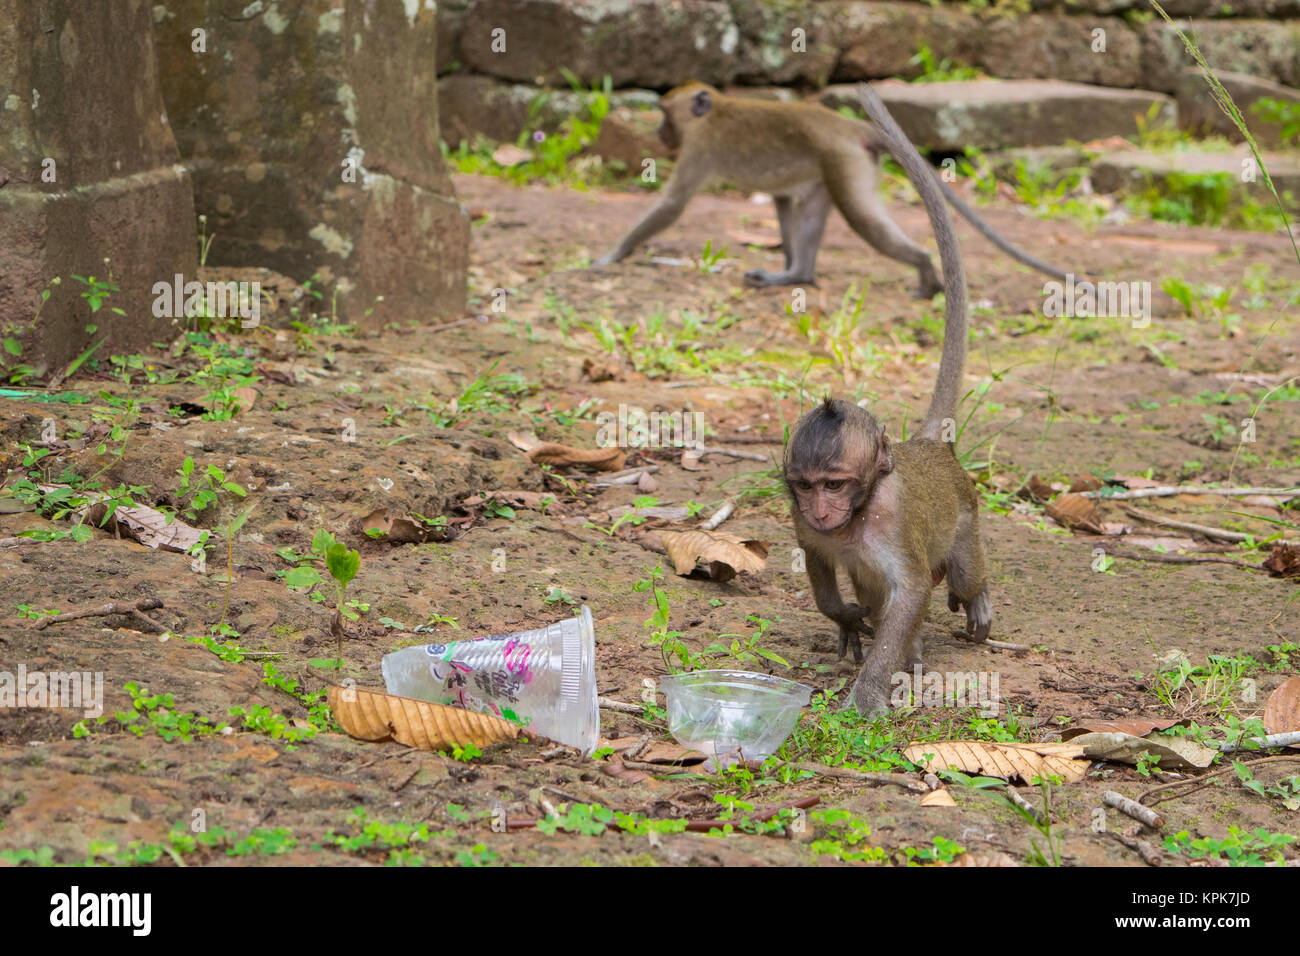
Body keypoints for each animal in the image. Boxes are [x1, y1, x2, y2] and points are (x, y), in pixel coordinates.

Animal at [593, 82, 1072, 297]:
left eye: (664, 114)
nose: (660, 133)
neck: (711, 113)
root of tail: (852, 126)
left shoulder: (699, 147)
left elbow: (672, 205)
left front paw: (610, 255)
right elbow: (783, 202)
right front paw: (786, 268)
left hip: (846, 162)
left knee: (861, 218)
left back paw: (924, 269)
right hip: (832, 166)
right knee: (814, 209)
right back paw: (797, 275)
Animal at [783, 85, 992, 717]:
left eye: (835, 483)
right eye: (804, 486)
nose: (821, 510)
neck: (857, 513)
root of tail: (931, 448)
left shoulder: (894, 519)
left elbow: (913, 588)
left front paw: (868, 693)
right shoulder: (805, 526)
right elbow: (820, 564)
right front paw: (847, 618)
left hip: (966, 519)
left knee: (961, 575)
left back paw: (977, 600)